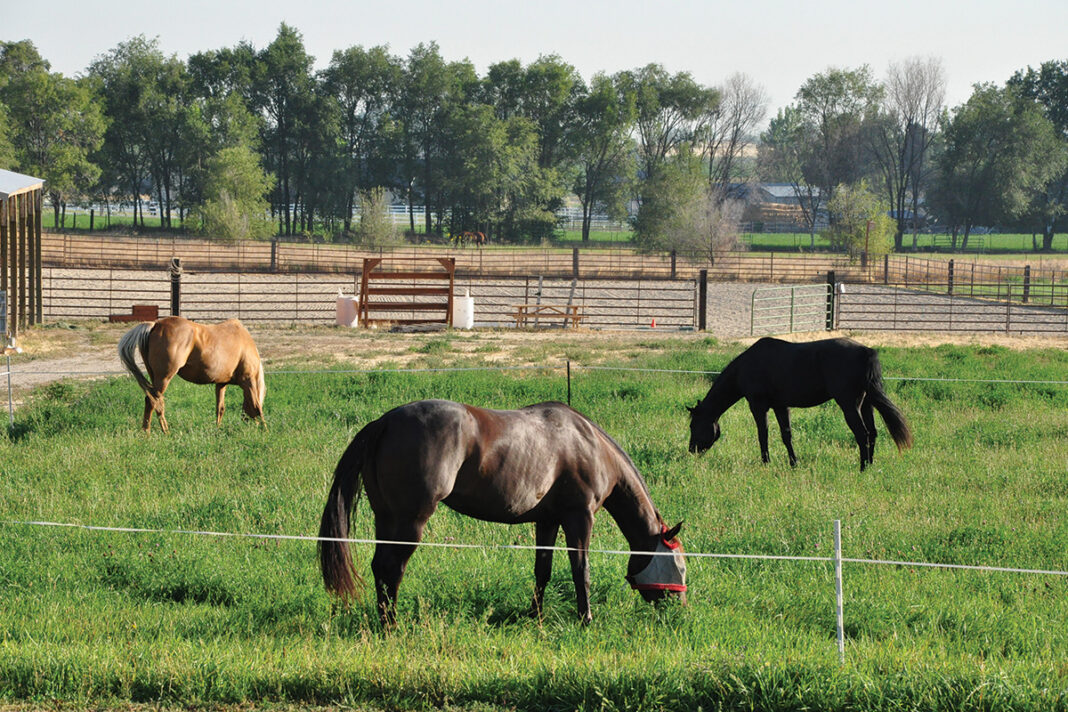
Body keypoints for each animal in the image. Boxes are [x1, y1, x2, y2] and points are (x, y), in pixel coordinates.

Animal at [118, 316, 266, 433]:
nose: (250, 425)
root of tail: (156, 325)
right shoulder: (248, 380)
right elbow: (257, 407)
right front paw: (265, 430)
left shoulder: (221, 383)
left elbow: (220, 408)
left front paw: (217, 429)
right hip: (164, 378)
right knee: (152, 402)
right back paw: (148, 433)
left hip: (155, 378)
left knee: (157, 402)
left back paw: (164, 431)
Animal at [319, 399, 686, 627]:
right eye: (680, 566)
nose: (678, 610)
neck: (589, 444)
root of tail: (385, 422)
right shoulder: (579, 517)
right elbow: (581, 570)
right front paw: (586, 618)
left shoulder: (547, 520)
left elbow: (543, 571)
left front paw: (536, 615)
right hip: (410, 522)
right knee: (392, 569)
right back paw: (391, 626)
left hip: (387, 519)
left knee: (380, 568)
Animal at [687, 337, 912, 471]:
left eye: (693, 426)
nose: (691, 450)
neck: (746, 366)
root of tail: (866, 351)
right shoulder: (781, 406)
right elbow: (786, 435)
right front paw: (793, 463)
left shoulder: (758, 406)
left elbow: (763, 434)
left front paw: (766, 462)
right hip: (866, 404)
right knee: (872, 433)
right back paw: (870, 465)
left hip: (849, 405)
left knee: (862, 434)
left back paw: (863, 468)